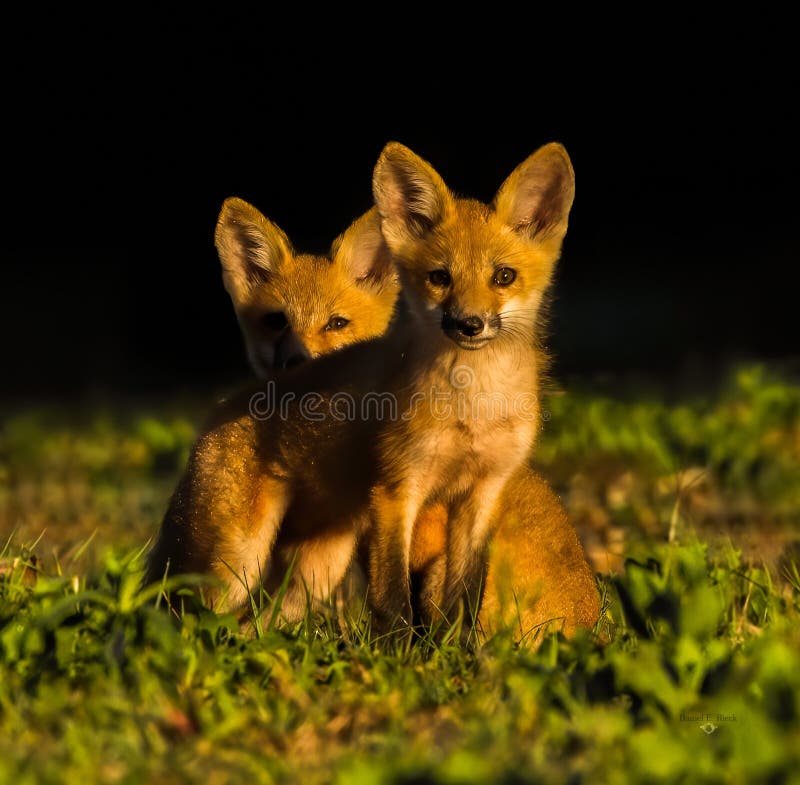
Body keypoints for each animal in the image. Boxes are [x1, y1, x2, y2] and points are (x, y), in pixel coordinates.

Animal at [145, 141, 585, 636]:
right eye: (440, 278)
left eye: (503, 277)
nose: (469, 324)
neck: (472, 411)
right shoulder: (398, 488)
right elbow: (392, 602)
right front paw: (404, 653)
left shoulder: (482, 493)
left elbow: (461, 603)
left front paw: (456, 653)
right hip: (237, 561)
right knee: (193, 620)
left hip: (311, 570)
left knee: (247, 625)